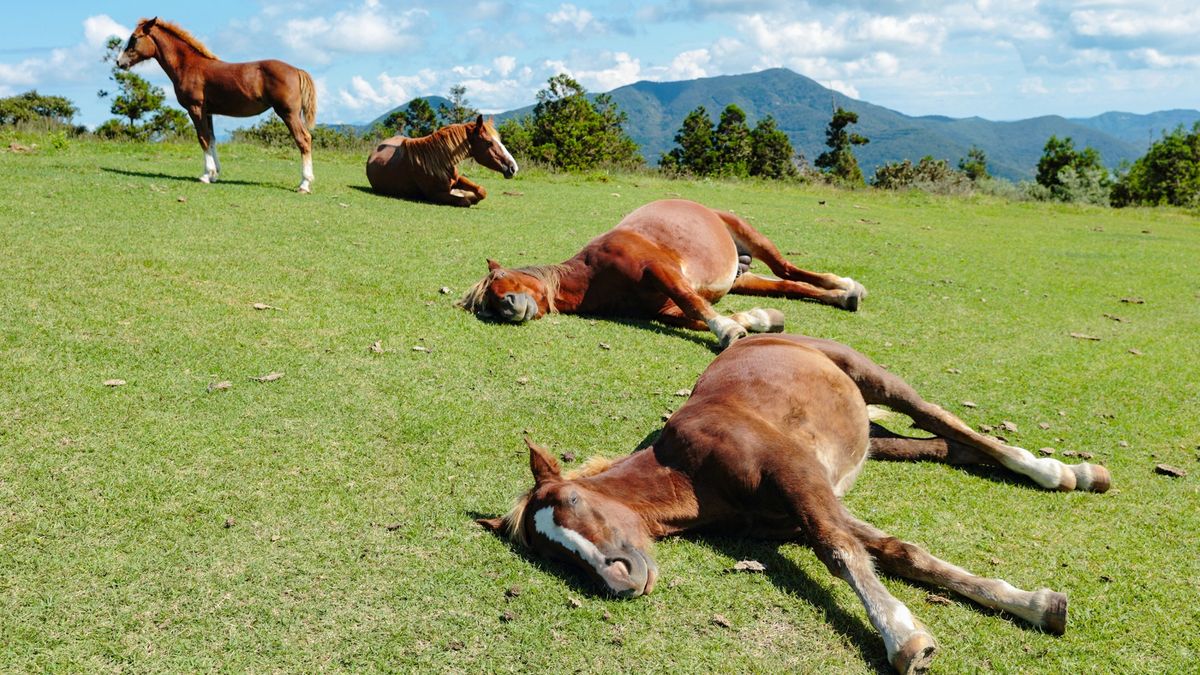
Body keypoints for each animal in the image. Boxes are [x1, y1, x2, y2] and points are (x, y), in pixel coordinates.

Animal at [117, 17, 318, 193]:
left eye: (134, 38)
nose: (119, 62)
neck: (188, 65)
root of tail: (296, 70)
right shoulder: (208, 112)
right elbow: (212, 139)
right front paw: (215, 174)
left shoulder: (195, 109)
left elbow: (203, 138)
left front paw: (206, 175)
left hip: (288, 113)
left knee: (303, 139)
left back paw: (304, 184)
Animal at [366, 116, 518, 206]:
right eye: (489, 143)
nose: (513, 167)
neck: (438, 161)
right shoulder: (435, 195)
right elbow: (465, 201)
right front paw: (465, 196)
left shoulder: (458, 179)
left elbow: (481, 190)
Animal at [460, 199, 866, 349]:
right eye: (487, 307)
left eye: (498, 282)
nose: (507, 307)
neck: (593, 275)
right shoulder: (661, 310)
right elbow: (694, 315)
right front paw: (759, 320)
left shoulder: (660, 270)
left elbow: (694, 303)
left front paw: (729, 330)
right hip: (742, 278)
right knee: (788, 283)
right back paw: (841, 296)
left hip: (750, 234)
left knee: (788, 269)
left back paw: (845, 286)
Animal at [478, 333, 1110, 674]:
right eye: (553, 554)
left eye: (573, 499)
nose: (620, 578)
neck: (691, 468)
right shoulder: (799, 510)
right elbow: (896, 551)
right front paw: (1035, 604)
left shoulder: (800, 479)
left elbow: (842, 552)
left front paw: (905, 640)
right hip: (868, 437)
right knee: (940, 445)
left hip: (875, 378)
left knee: (948, 423)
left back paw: (1062, 472)